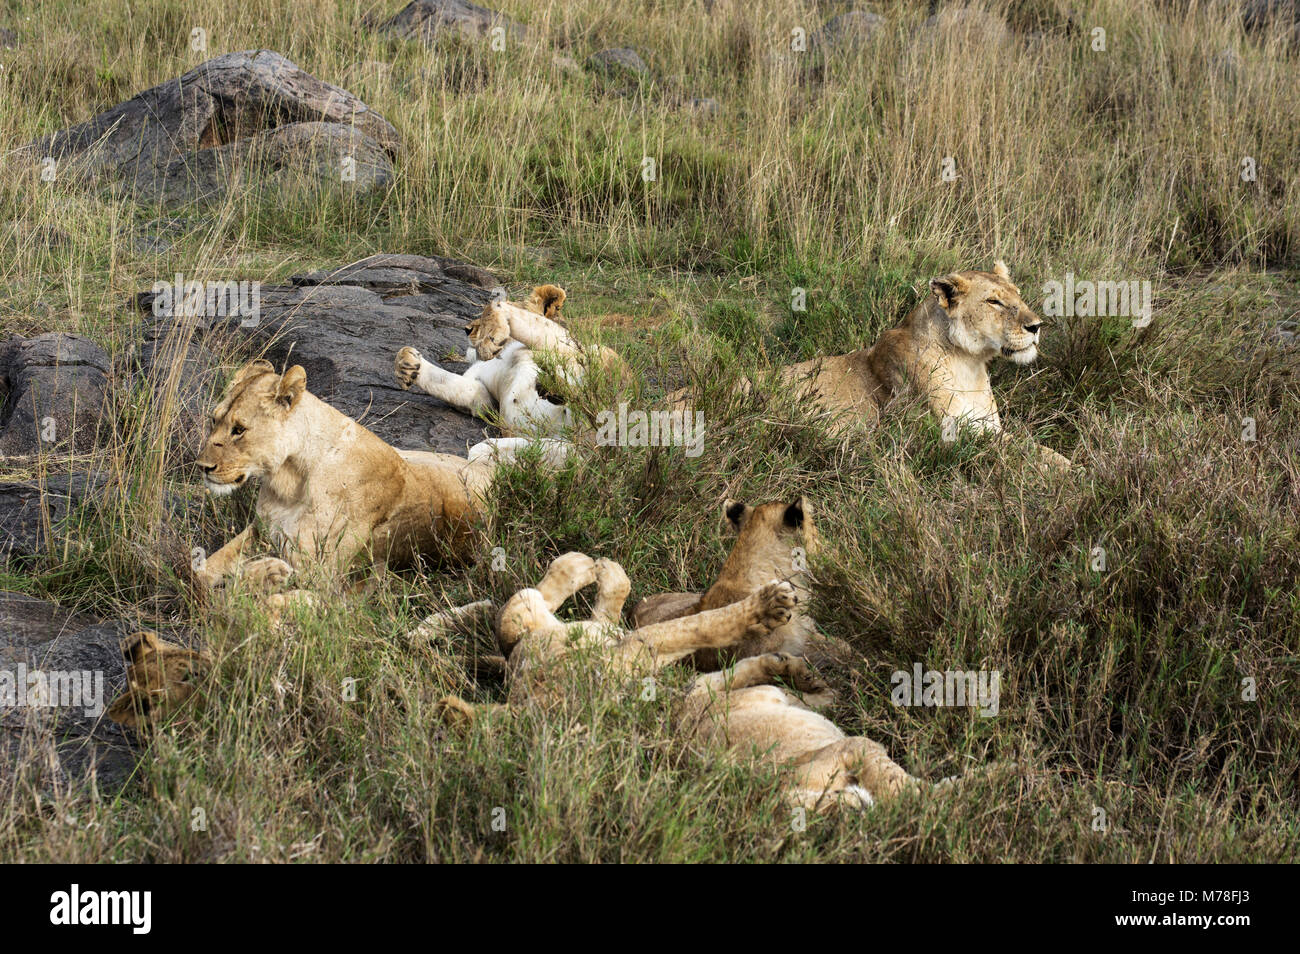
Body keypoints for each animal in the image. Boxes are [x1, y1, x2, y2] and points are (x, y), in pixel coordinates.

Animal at [193, 359, 569, 598]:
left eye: (239, 430)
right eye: (213, 420)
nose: (202, 466)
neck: (288, 480)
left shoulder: (323, 574)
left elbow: (239, 584)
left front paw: (268, 574)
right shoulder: (259, 530)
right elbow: (201, 571)